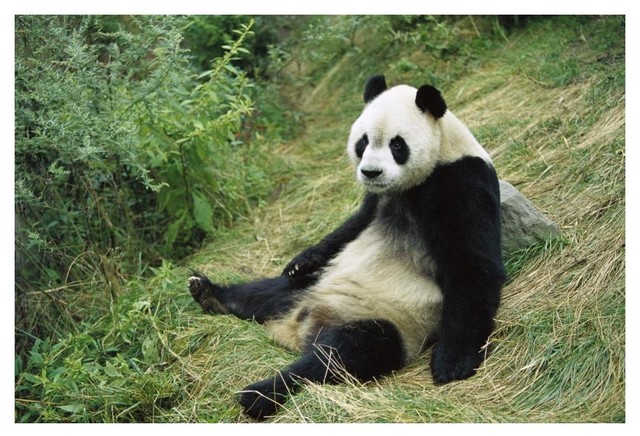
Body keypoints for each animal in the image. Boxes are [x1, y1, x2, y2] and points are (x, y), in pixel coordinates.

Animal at [188, 74, 505, 420]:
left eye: (397, 144)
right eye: (363, 142)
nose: (370, 172)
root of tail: (298, 329)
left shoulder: (460, 183)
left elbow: (472, 265)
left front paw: (452, 363)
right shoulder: (377, 200)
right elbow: (351, 227)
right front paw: (302, 259)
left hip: (394, 323)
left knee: (346, 353)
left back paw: (260, 394)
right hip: (313, 287)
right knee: (270, 291)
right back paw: (210, 293)